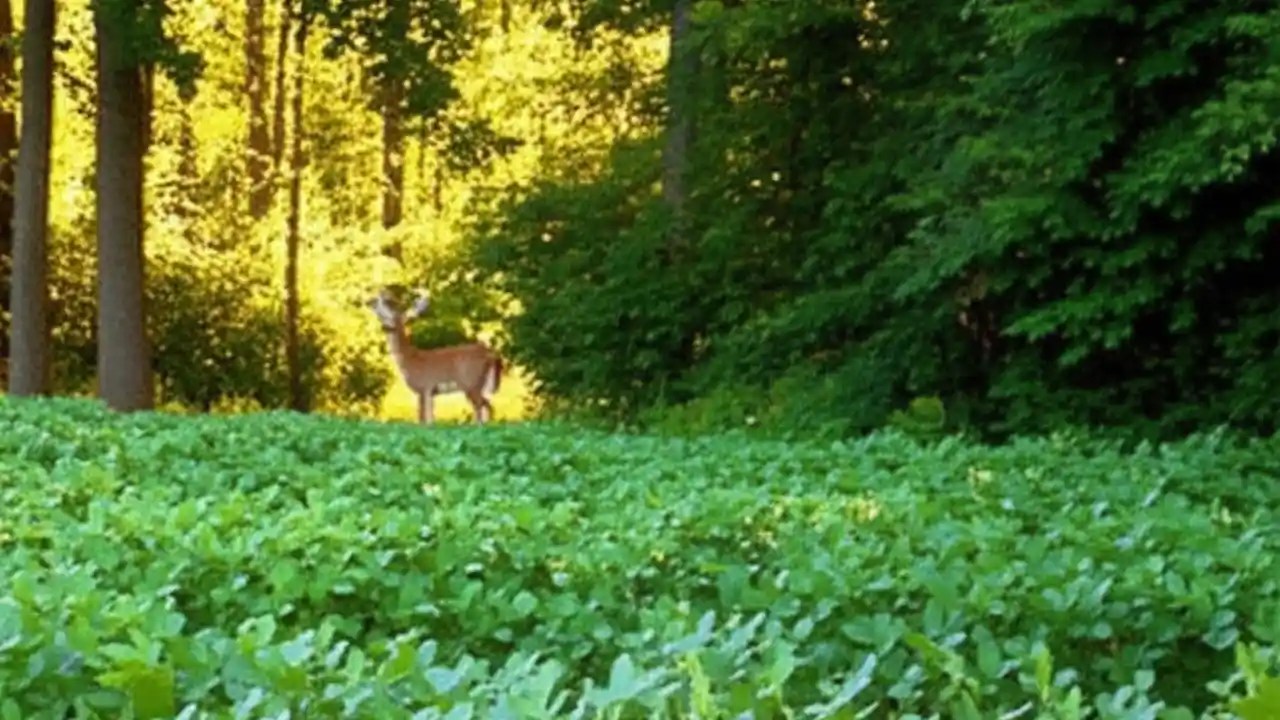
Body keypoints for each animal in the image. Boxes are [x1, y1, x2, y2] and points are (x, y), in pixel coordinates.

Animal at [367, 288, 503, 425]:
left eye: (390, 301)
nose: (370, 301)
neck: (410, 359)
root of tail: (490, 354)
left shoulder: (423, 386)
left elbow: (422, 420)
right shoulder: (431, 392)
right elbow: (431, 420)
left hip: (471, 383)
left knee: (482, 408)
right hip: (485, 386)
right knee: (487, 408)